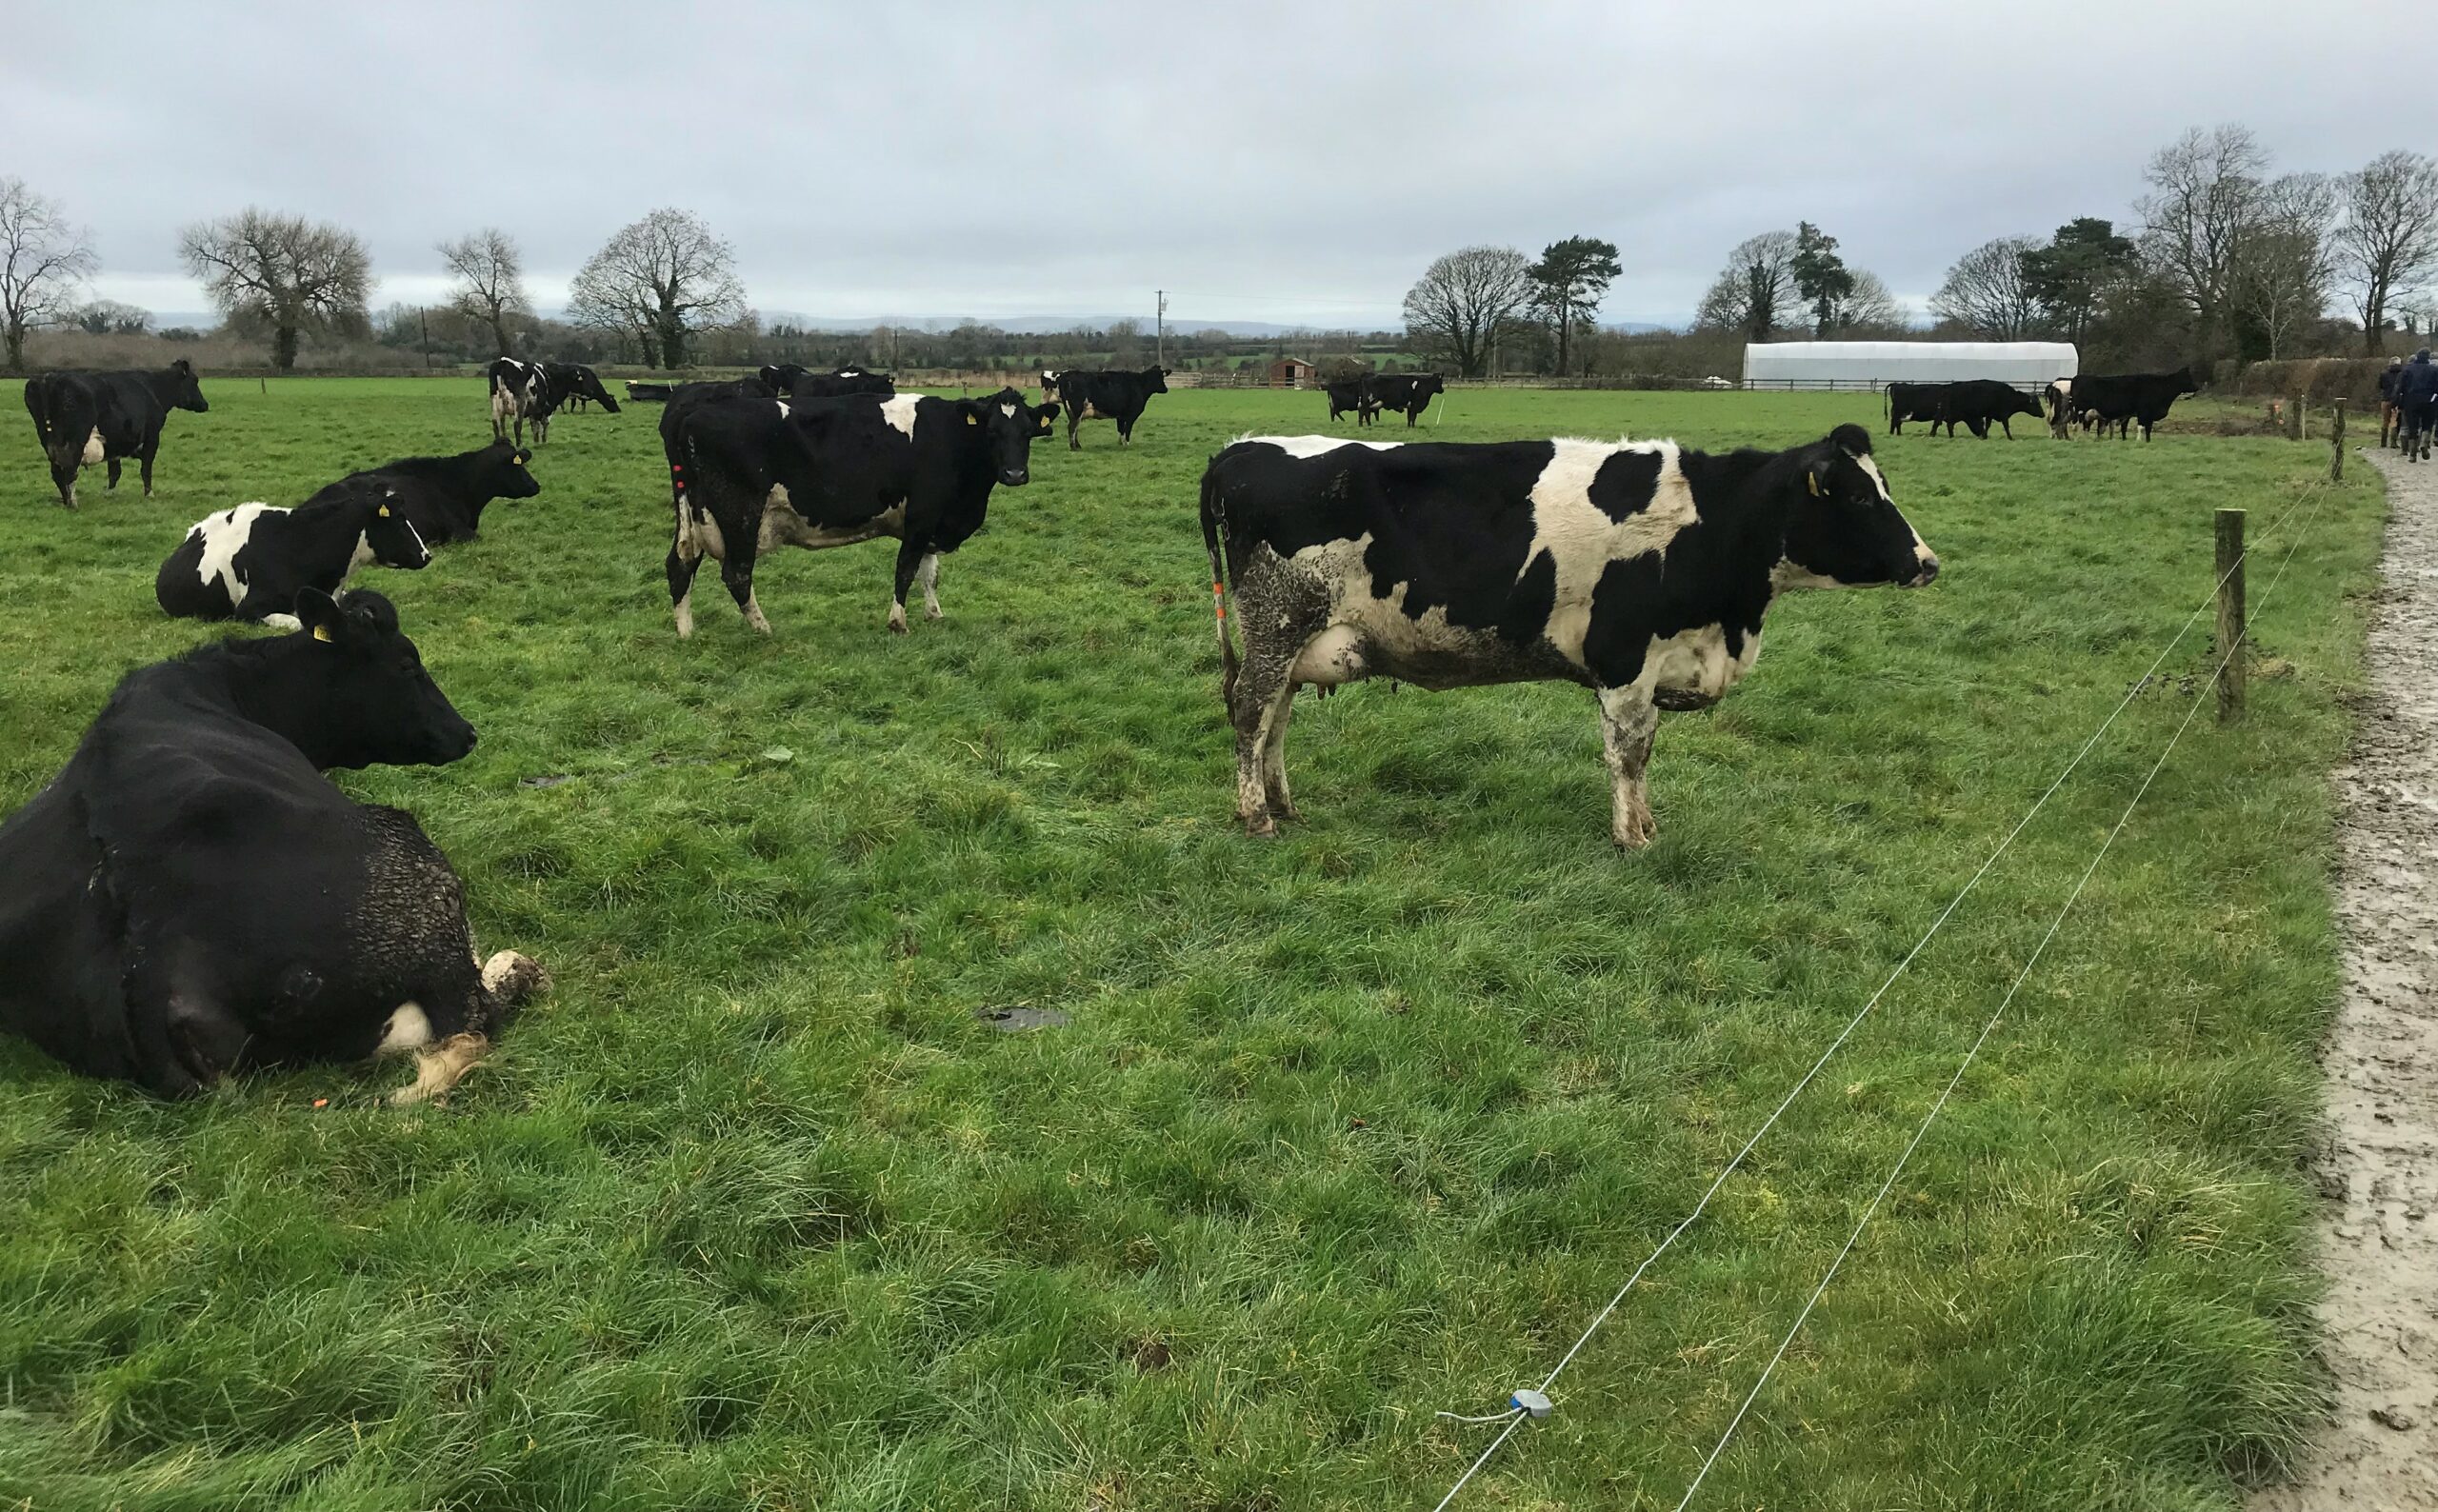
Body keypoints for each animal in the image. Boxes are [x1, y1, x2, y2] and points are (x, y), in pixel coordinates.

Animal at [0, 588, 546, 1103]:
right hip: (417, 885)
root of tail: (145, 954)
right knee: (472, 1014)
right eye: (406, 664)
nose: (467, 733)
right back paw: (520, 969)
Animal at [22, 359, 209, 508]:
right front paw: (149, 494)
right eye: (195, 381)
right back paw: (73, 503)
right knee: (69, 470)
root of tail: (49, 378)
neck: (153, 389)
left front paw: (109, 494)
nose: (205, 404)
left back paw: (66, 501)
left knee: (57, 472)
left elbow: (115, 471)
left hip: (48, 440)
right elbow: (146, 468)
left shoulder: (115, 441)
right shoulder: (152, 436)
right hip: (76, 439)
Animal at [663, 387, 1058, 637]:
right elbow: (906, 570)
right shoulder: (921, 518)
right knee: (737, 573)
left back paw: (686, 631)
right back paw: (763, 629)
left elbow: (930, 574)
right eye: (991, 432)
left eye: (1028, 432)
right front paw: (898, 623)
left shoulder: (932, 522)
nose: (1015, 474)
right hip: (740, 513)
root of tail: (691, 414)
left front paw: (934, 615)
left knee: (680, 563)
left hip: (694, 513)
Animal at [1198, 424, 1939, 846]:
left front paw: (1647, 825)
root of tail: (1237, 449)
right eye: (1860, 497)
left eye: (1883, 486)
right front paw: (1634, 837)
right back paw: (1255, 815)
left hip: (1294, 639)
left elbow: (1644, 752)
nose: (1928, 562)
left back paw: (1283, 804)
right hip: (1277, 623)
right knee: (1251, 711)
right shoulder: (1627, 661)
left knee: (1275, 719)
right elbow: (1629, 754)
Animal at [2071, 368, 2199, 441]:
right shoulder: (2143, 412)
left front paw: (2147, 440)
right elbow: (2141, 427)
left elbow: (2147, 428)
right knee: (2076, 424)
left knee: (2085, 426)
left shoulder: (2148, 415)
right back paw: (2077, 438)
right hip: (2080, 410)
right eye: (2188, 378)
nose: (2197, 387)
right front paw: (2138, 440)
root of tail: (2078, 377)